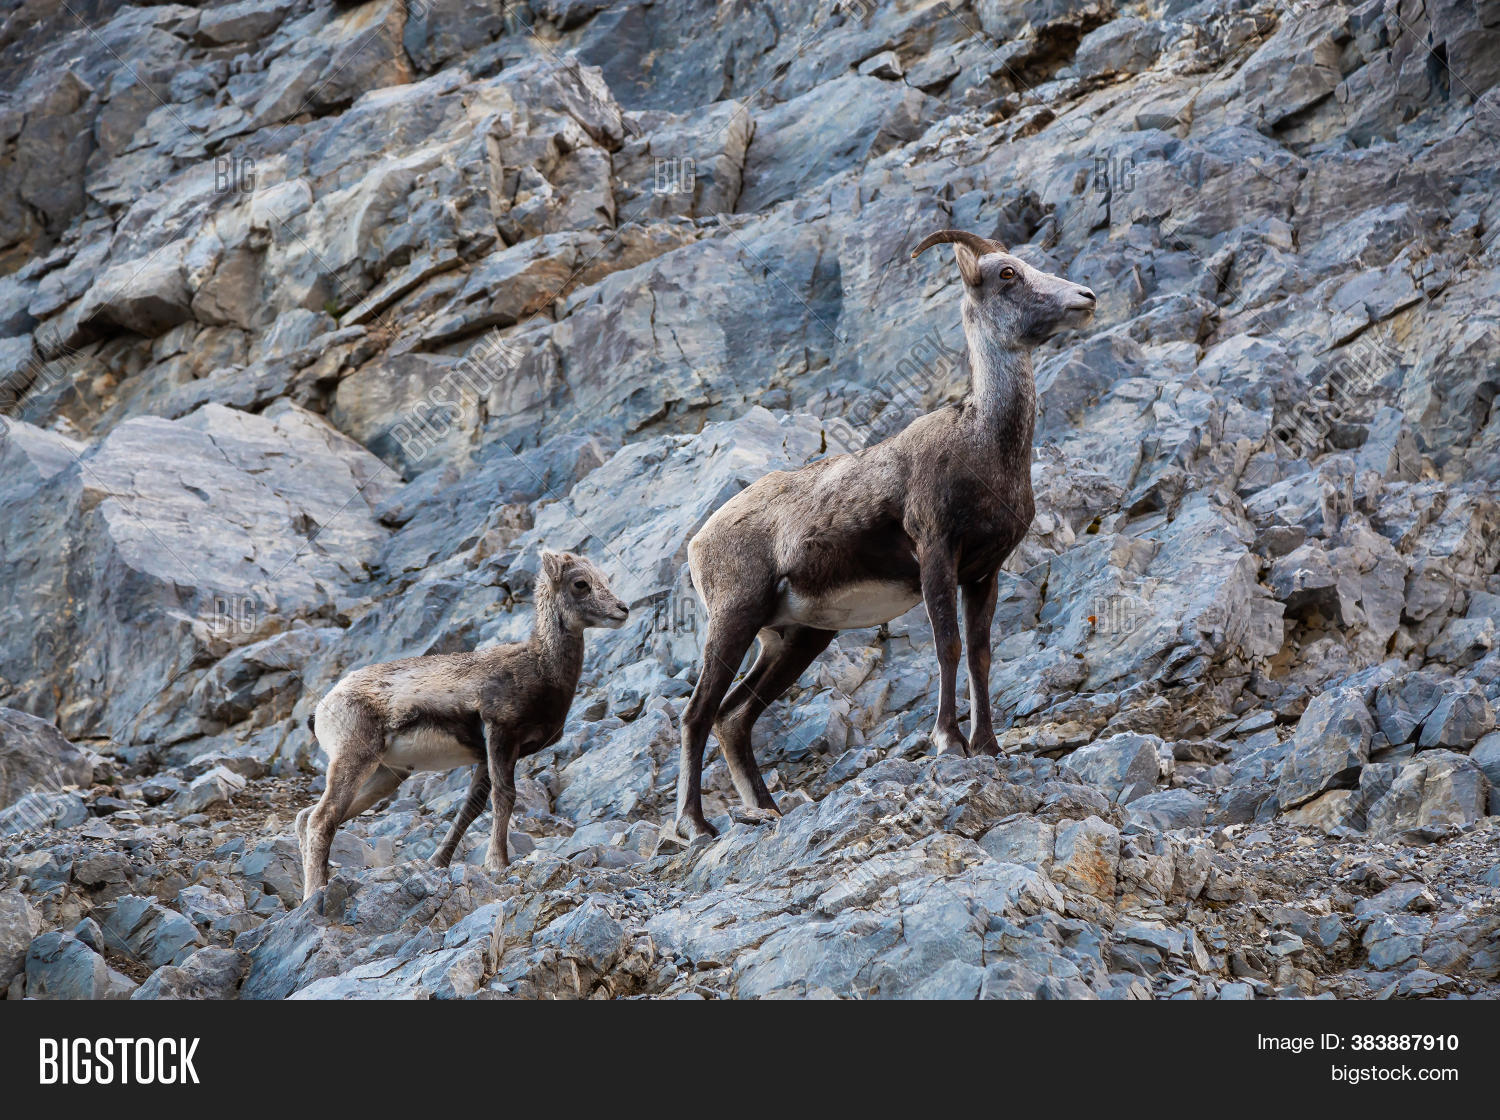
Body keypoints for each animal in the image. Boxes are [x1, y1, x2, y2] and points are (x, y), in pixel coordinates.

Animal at [296, 549, 628, 900]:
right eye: (580, 583)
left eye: (605, 579)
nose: (622, 610)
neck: (540, 669)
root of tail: (324, 708)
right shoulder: (500, 735)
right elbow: (504, 797)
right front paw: (498, 864)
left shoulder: (488, 756)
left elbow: (472, 807)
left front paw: (438, 862)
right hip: (354, 760)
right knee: (322, 819)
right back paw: (315, 892)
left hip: (387, 775)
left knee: (307, 817)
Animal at [672, 229, 1095, 840]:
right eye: (1007, 273)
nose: (1085, 297)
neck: (986, 444)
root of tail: (698, 544)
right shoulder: (936, 554)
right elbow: (948, 646)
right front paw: (949, 743)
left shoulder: (983, 573)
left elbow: (981, 654)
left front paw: (989, 747)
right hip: (734, 618)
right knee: (698, 713)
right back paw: (695, 825)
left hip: (797, 638)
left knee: (734, 717)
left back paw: (768, 810)